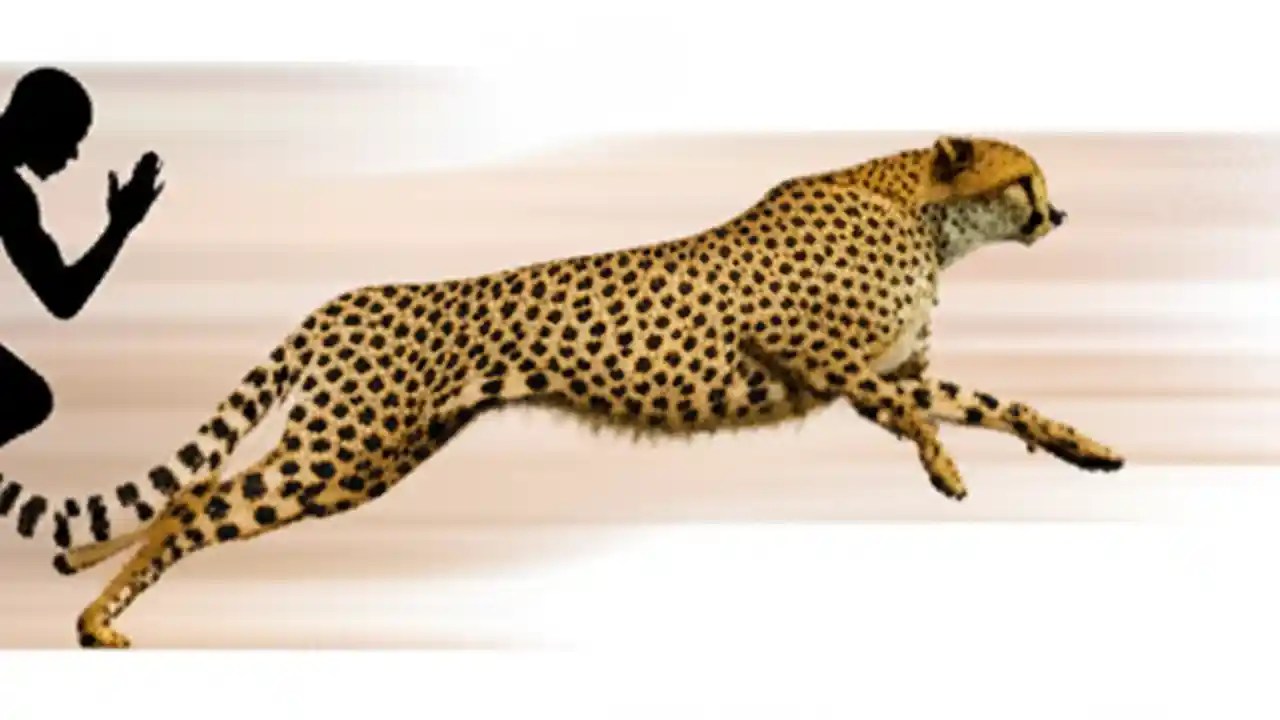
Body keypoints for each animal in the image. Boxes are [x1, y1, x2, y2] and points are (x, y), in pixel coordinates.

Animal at [0, 135, 1126, 648]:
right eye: (1023, 178)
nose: (1059, 213)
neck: (920, 213)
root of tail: (348, 295)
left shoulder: (893, 364)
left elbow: (995, 404)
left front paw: (1085, 447)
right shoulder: (801, 351)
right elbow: (907, 413)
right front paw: (943, 469)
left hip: (369, 453)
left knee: (192, 489)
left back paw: (83, 575)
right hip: (343, 449)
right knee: (201, 498)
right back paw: (95, 620)